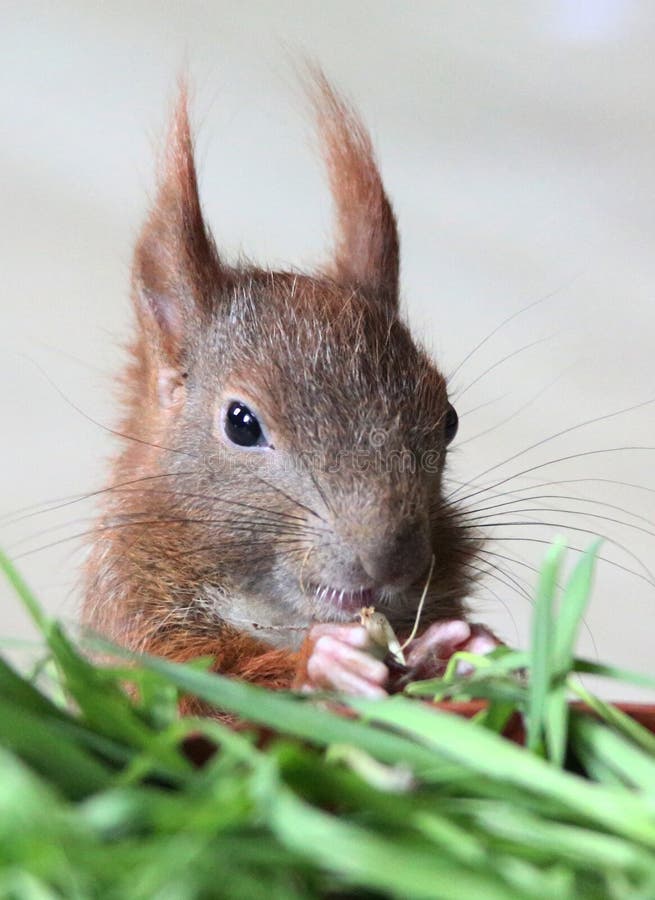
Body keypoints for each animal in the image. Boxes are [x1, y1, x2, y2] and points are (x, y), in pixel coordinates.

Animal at [81, 69, 499, 711]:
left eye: (448, 420)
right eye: (241, 422)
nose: (390, 559)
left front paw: (459, 649)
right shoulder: (136, 620)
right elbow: (200, 699)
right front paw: (324, 666)